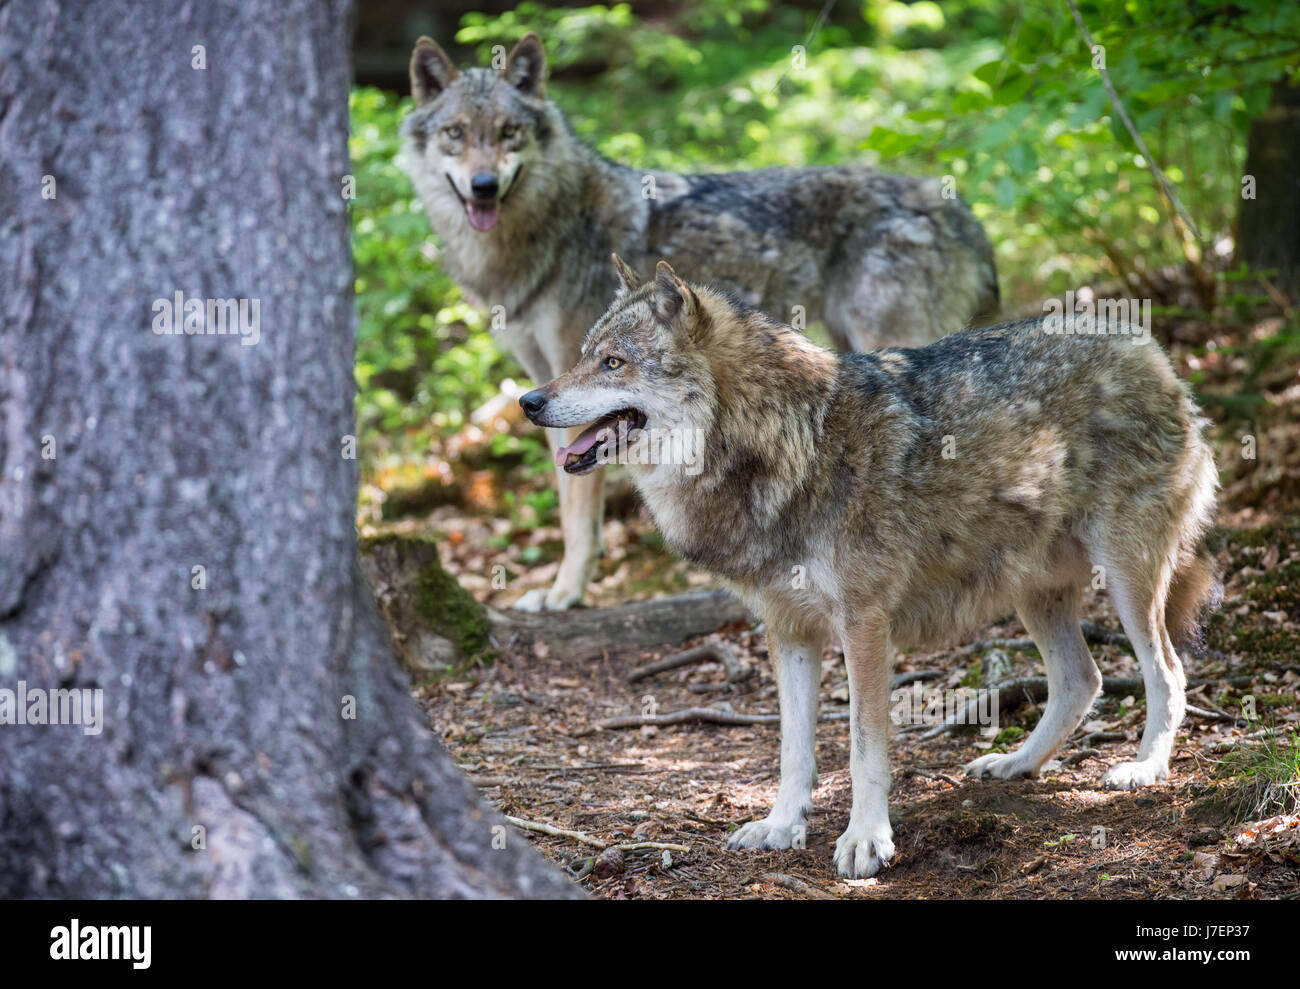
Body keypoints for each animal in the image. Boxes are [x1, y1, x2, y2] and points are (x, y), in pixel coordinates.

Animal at [399, 33, 999, 611]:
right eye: (455, 133)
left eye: (509, 132)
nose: (483, 185)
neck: (550, 228)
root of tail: (960, 207)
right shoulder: (548, 376)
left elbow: (577, 514)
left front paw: (565, 593)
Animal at [519, 256, 1220, 878]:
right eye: (583, 355)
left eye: (613, 362)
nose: (528, 400)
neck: (786, 441)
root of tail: (1148, 348)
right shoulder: (789, 630)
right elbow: (793, 750)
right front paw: (781, 827)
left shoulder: (864, 623)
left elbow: (862, 750)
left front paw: (866, 841)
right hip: (1031, 590)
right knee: (1083, 679)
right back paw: (1016, 765)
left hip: (1125, 578)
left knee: (1167, 672)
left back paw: (1145, 768)